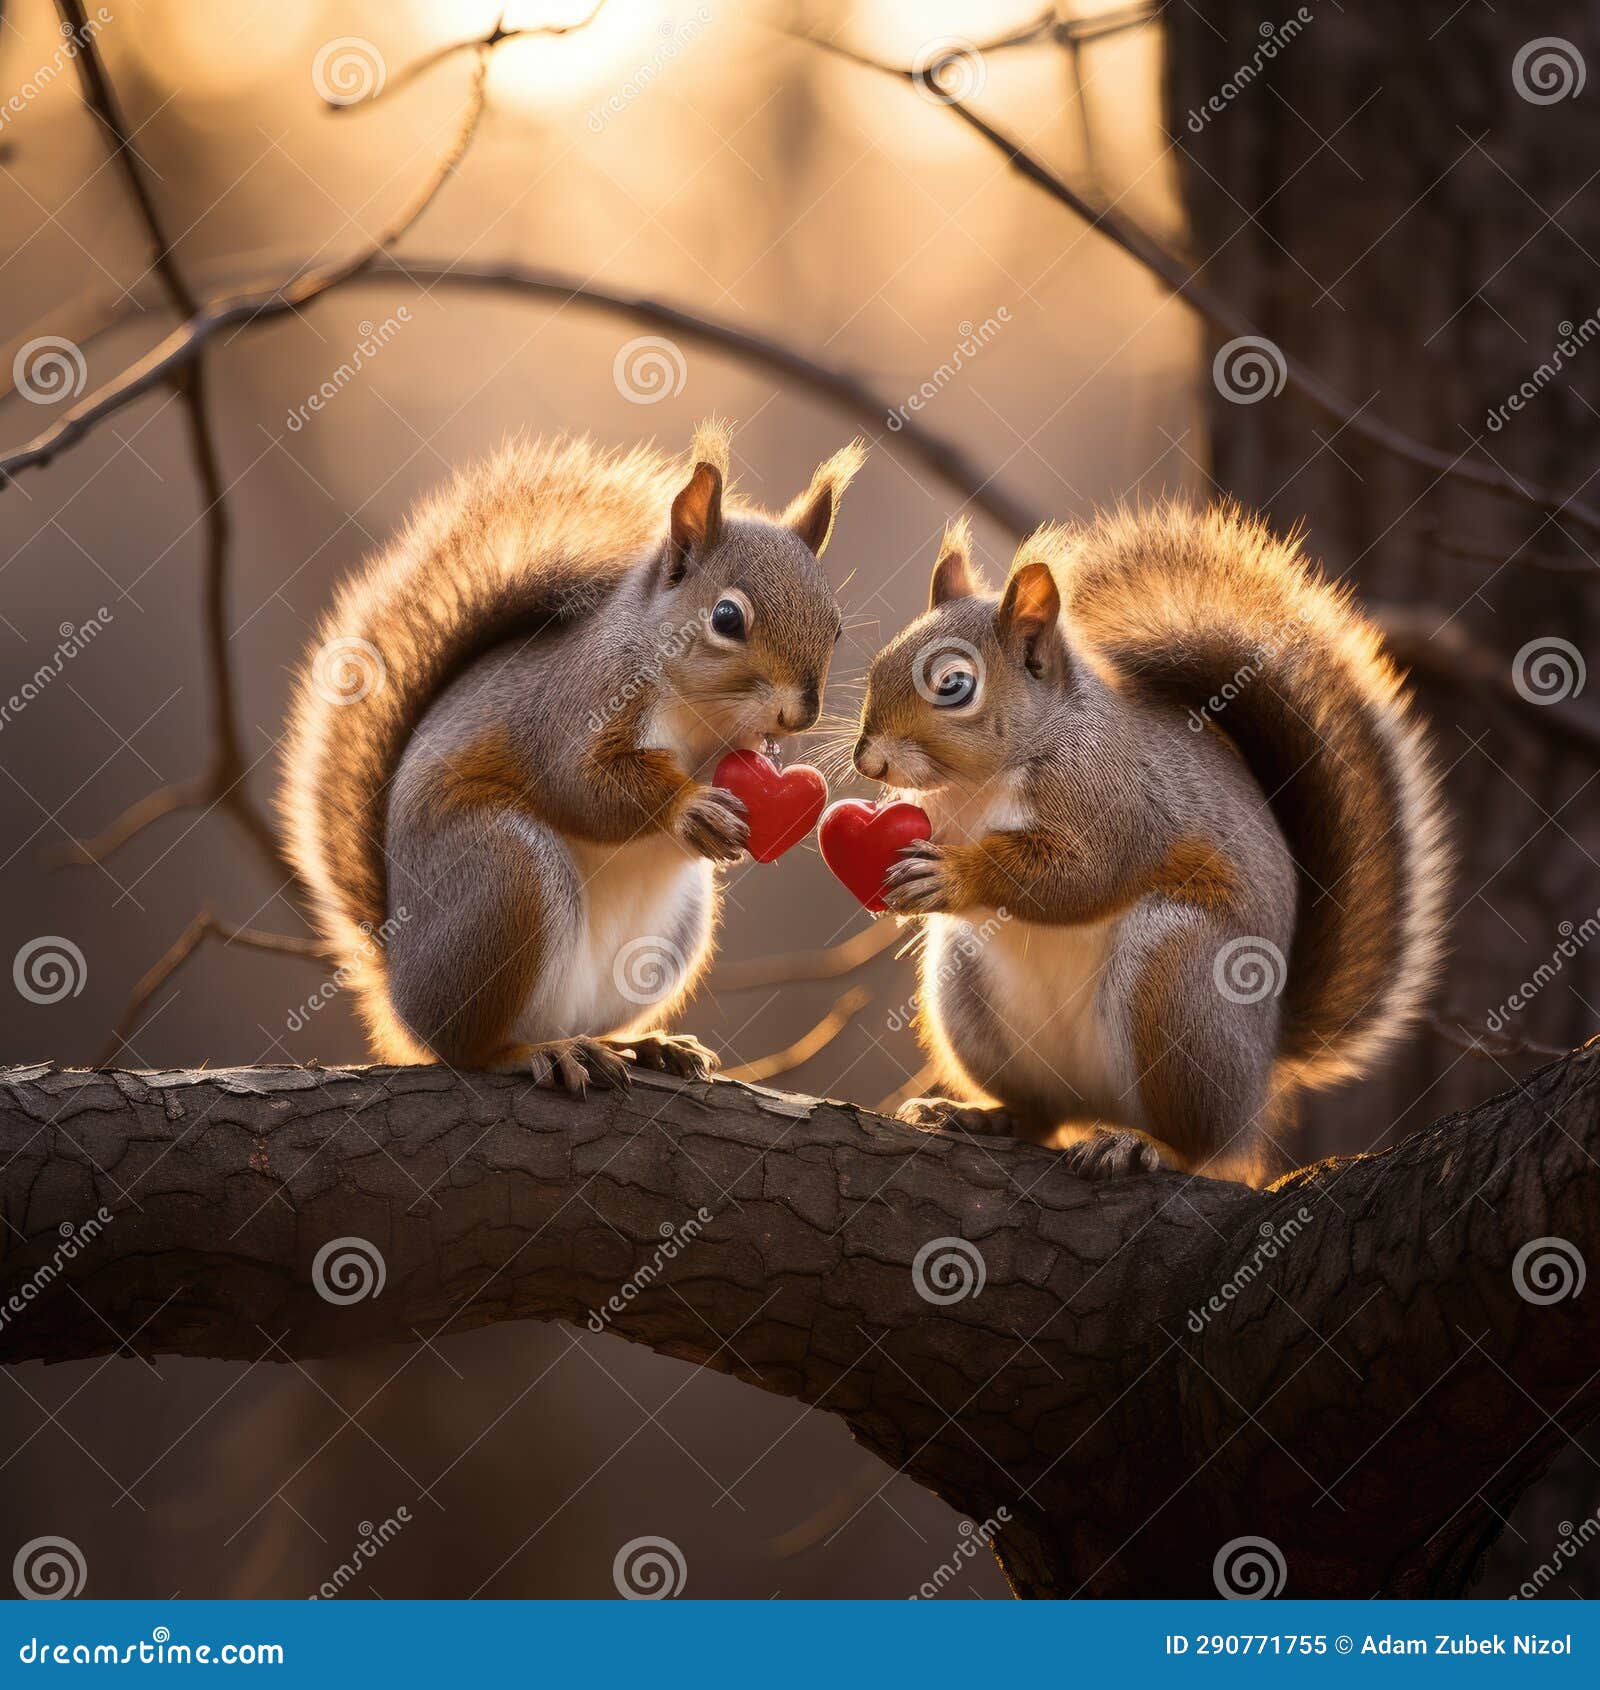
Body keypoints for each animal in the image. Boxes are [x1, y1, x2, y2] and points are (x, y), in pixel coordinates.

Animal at [281, 422, 863, 1090]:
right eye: (726, 617)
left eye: (836, 626)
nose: (801, 715)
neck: (699, 713)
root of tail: (401, 994)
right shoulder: (580, 706)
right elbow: (582, 784)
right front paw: (689, 808)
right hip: (504, 877)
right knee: (471, 1048)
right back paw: (535, 1052)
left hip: (669, 936)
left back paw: (646, 1044)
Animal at [850, 503, 1450, 1184]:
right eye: (880, 662)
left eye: (954, 685)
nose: (867, 761)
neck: (977, 783)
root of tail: (1264, 1061)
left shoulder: (1113, 801)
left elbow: (1078, 877)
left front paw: (953, 876)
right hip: (966, 995)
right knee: (1041, 1116)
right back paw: (981, 1115)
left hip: (1180, 978)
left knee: (1202, 1144)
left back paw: (1144, 1144)